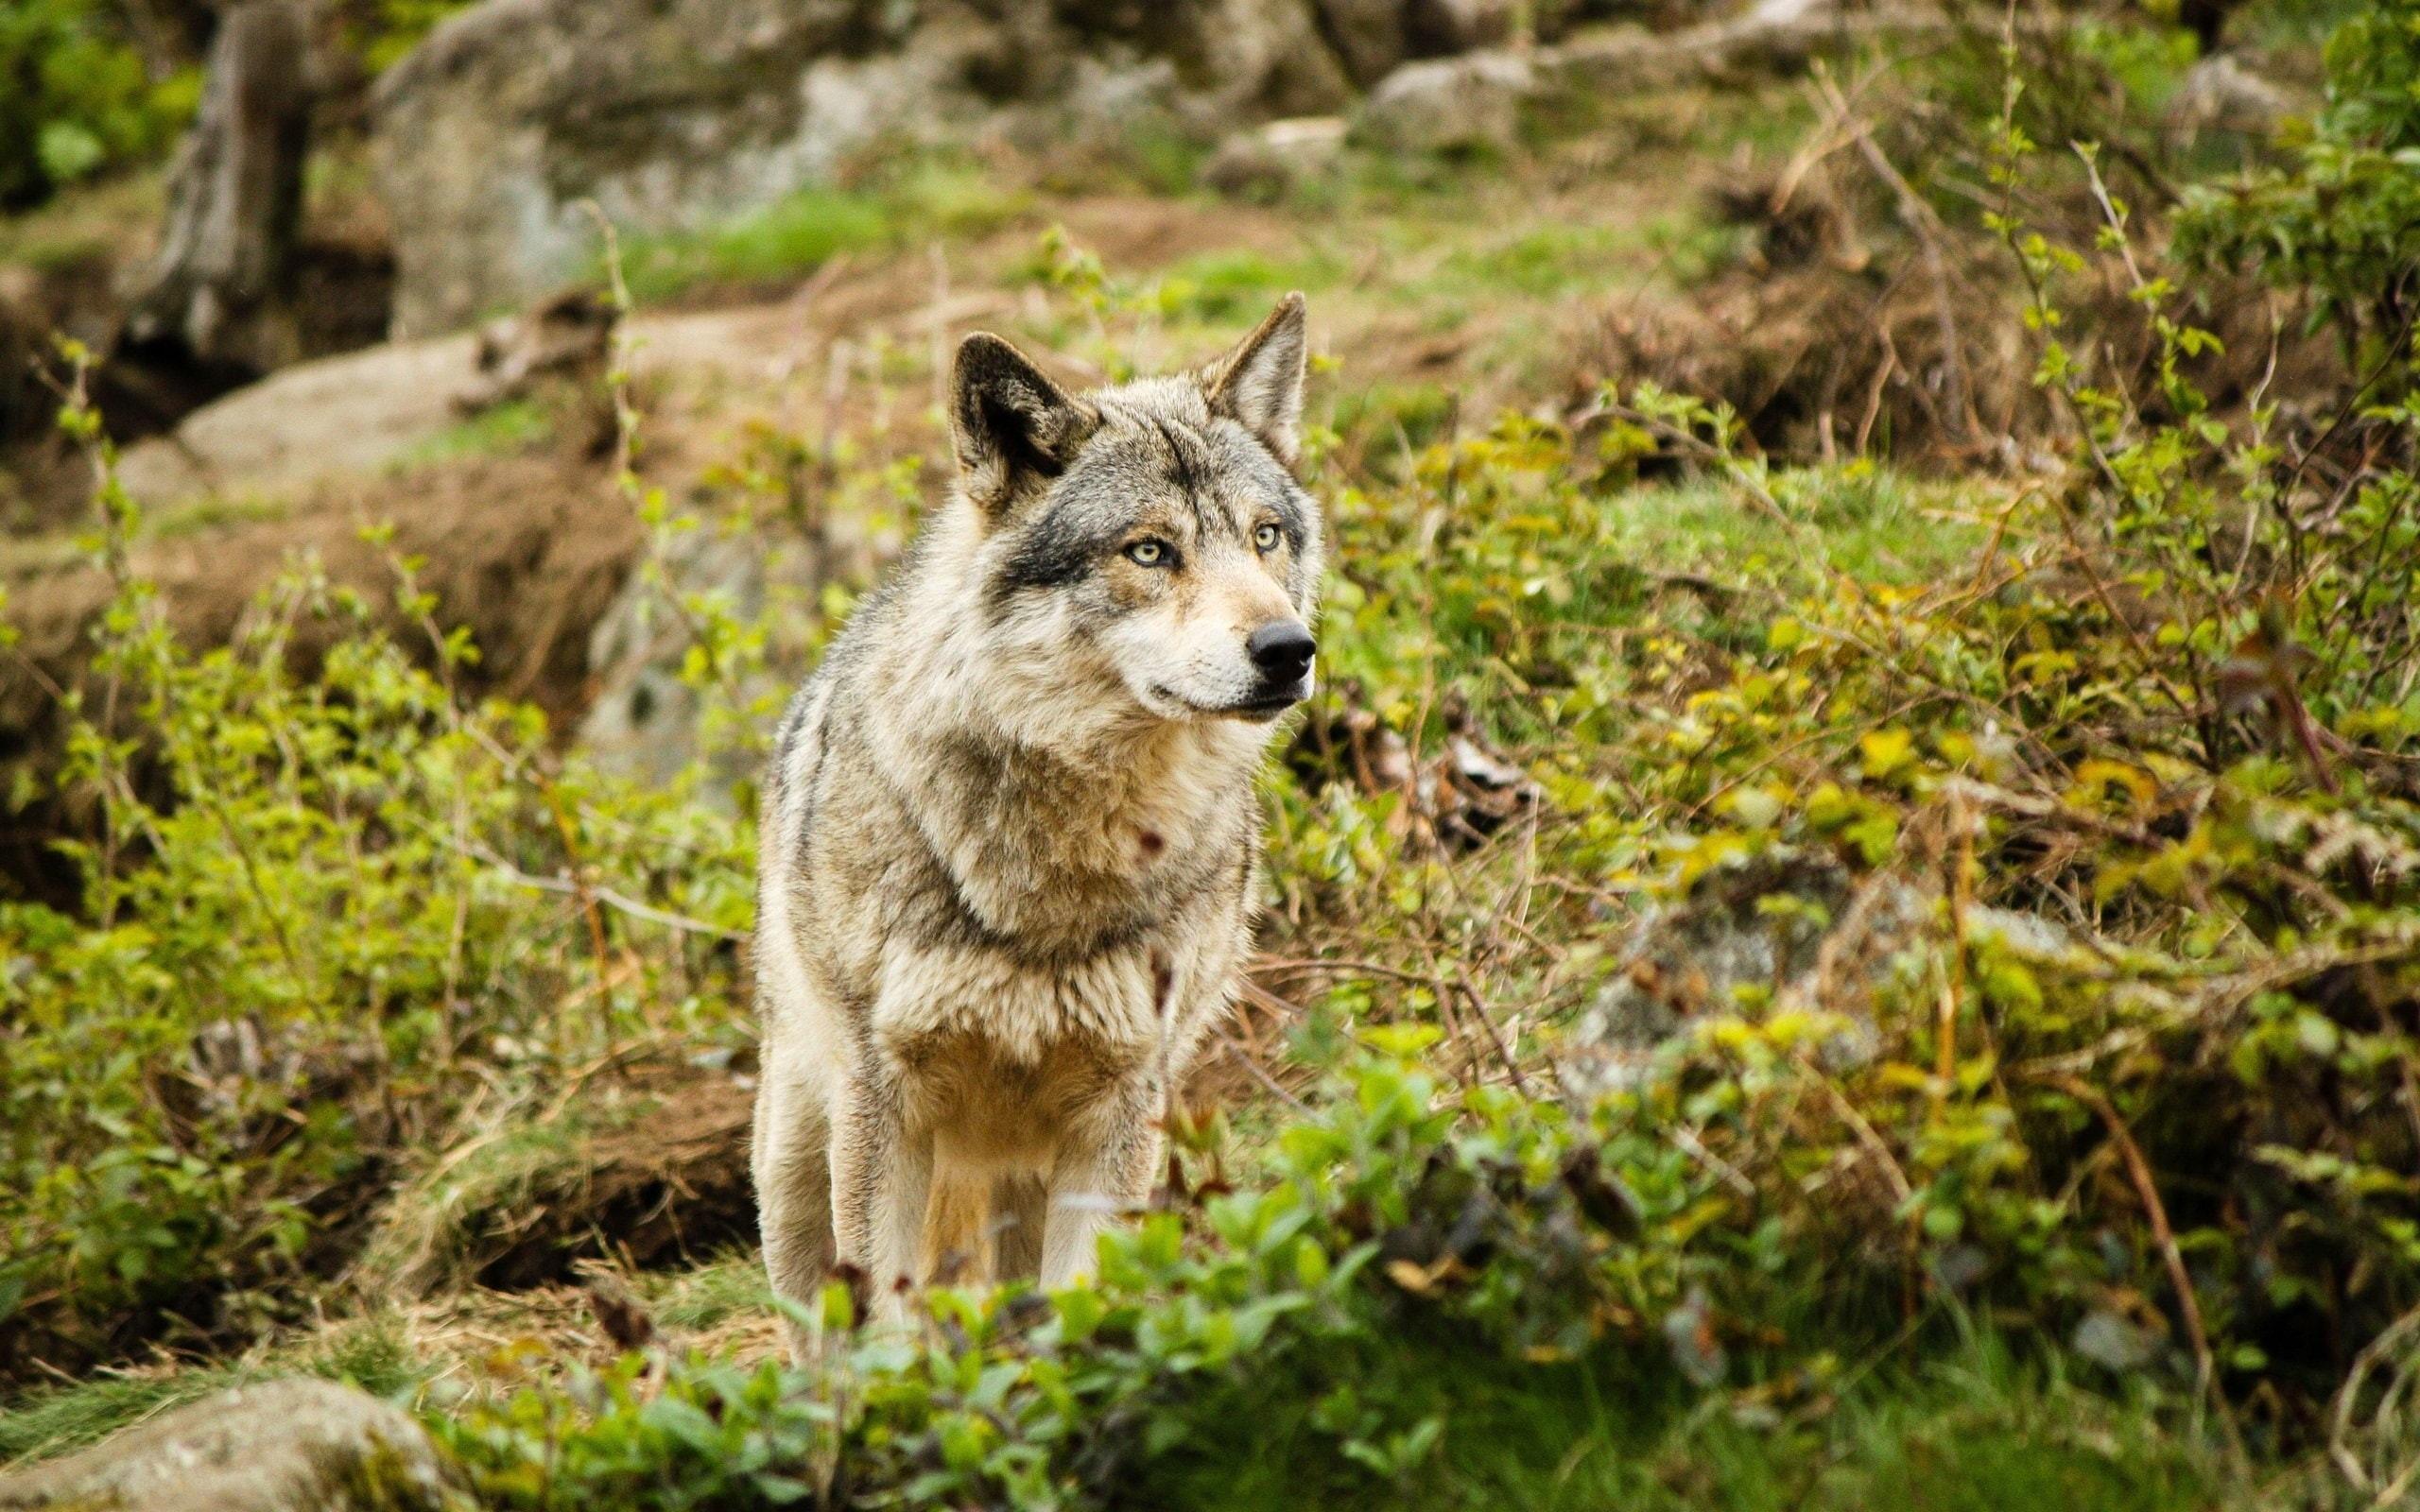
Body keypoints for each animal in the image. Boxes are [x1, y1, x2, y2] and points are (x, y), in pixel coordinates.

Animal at [751, 295, 1322, 1348]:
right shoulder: (886, 1106)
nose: (1287, 649)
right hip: (798, 1165)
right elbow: (889, 1328)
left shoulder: (1120, 1111)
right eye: (1150, 550)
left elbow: (1081, 1307)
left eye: (1264, 536)